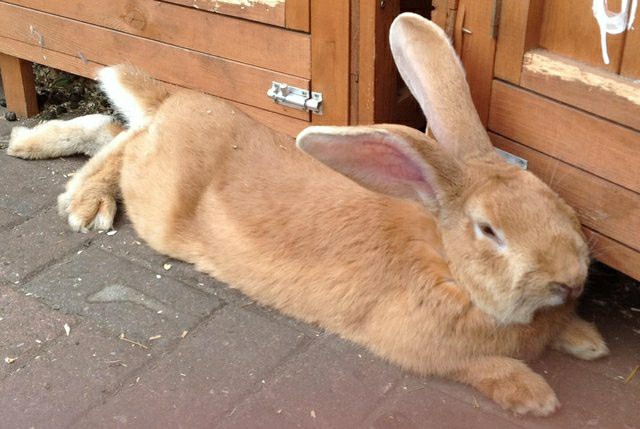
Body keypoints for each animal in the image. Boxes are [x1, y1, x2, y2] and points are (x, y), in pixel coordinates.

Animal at [7, 13, 609, 416]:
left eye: (555, 202)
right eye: (489, 231)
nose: (571, 279)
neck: (447, 267)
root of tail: (174, 103)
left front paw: (589, 341)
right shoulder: (419, 347)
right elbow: (478, 367)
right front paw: (536, 396)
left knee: (116, 127)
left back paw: (37, 148)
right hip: (156, 199)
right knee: (122, 141)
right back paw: (82, 199)